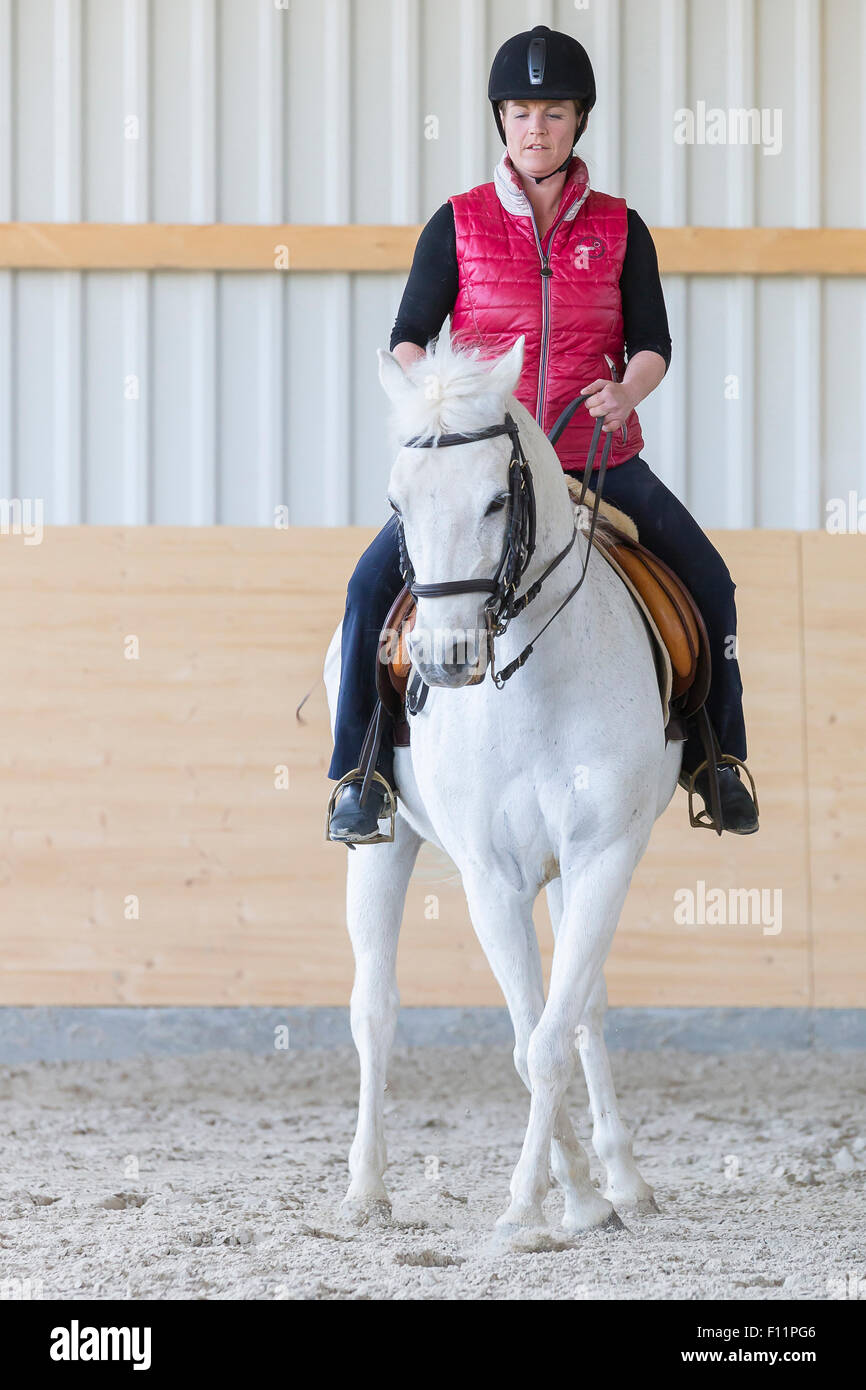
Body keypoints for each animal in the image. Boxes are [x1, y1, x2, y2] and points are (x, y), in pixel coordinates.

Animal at [323, 333, 682, 1239]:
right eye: (398, 502)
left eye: (495, 502)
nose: (445, 660)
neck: (534, 678)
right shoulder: (493, 878)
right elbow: (526, 1040)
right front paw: (556, 1194)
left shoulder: (602, 856)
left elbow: (557, 1030)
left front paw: (569, 1197)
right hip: (380, 844)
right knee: (374, 1011)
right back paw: (367, 1189)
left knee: (585, 1009)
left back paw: (624, 1178)